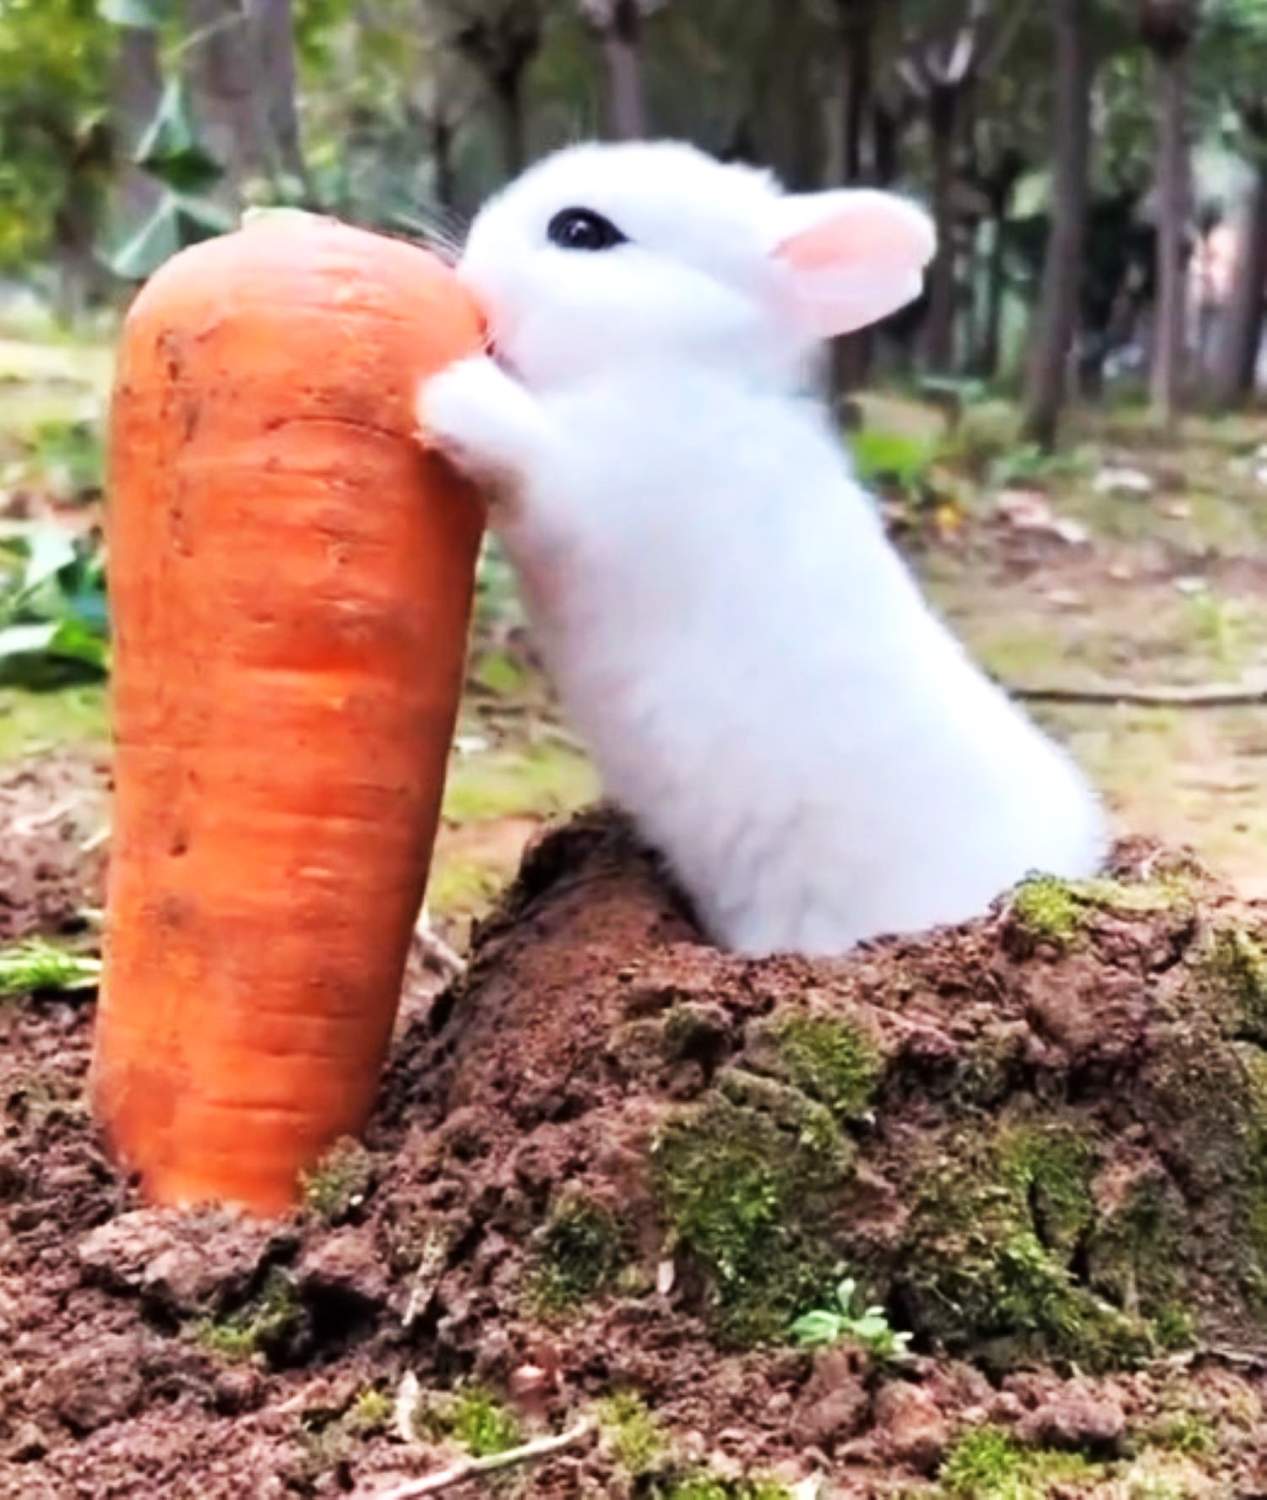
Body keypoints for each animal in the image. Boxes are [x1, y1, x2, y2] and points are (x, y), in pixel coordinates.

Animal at [418, 141, 1107, 957]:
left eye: (581, 231)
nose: (465, 273)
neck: (674, 368)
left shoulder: (608, 490)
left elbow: (532, 453)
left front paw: (451, 394)